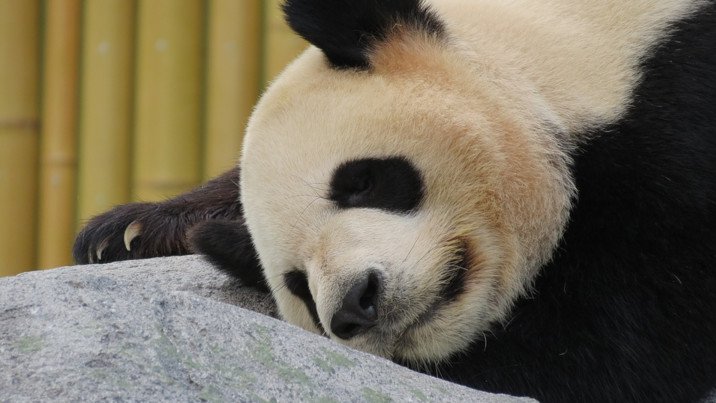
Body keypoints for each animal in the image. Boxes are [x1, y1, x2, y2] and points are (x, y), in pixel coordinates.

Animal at [73, 0, 716, 401]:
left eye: (361, 179)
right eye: (297, 284)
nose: (357, 304)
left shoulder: (673, 119)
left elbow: (611, 348)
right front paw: (129, 231)